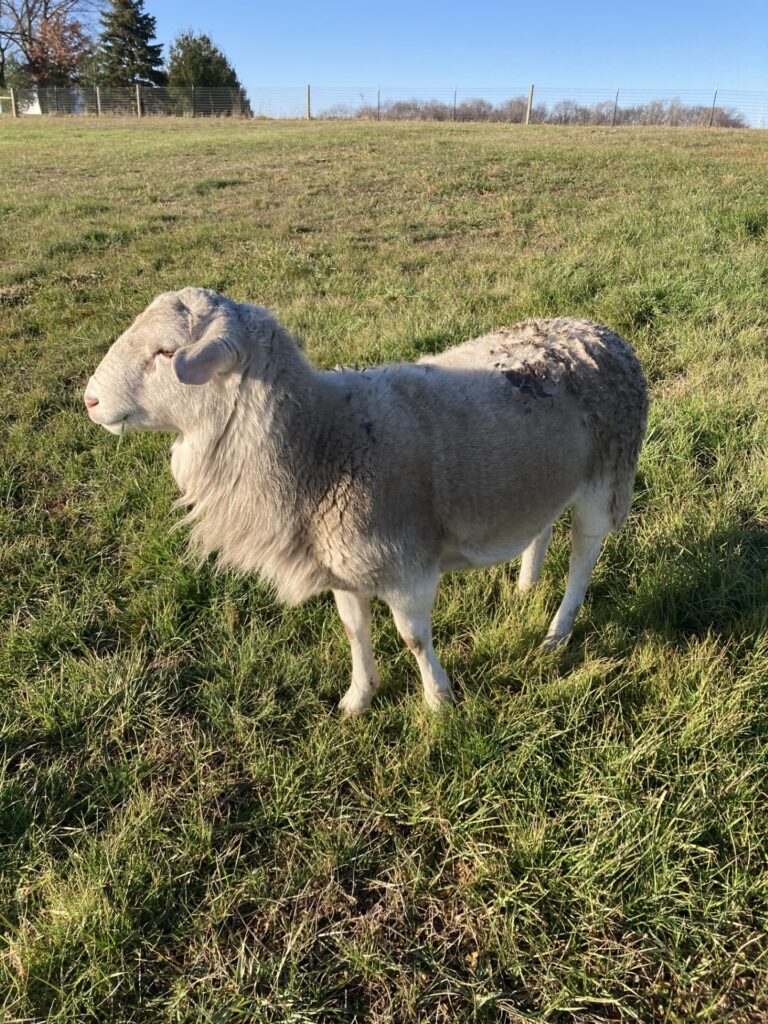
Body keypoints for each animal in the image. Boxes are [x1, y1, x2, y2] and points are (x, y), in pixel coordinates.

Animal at [84, 288, 648, 715]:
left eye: (165, 353)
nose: (89, 400)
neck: (326, 439)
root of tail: (600, 331)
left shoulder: (406, 568)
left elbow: (413, 638)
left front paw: (439, 703)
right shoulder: (343, 567)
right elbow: (354, 632)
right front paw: (358, 699)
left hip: (606, 479)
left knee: (583, 558)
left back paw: (557, 632)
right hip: (543, 477)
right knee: (542, 528)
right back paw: (525, 591)